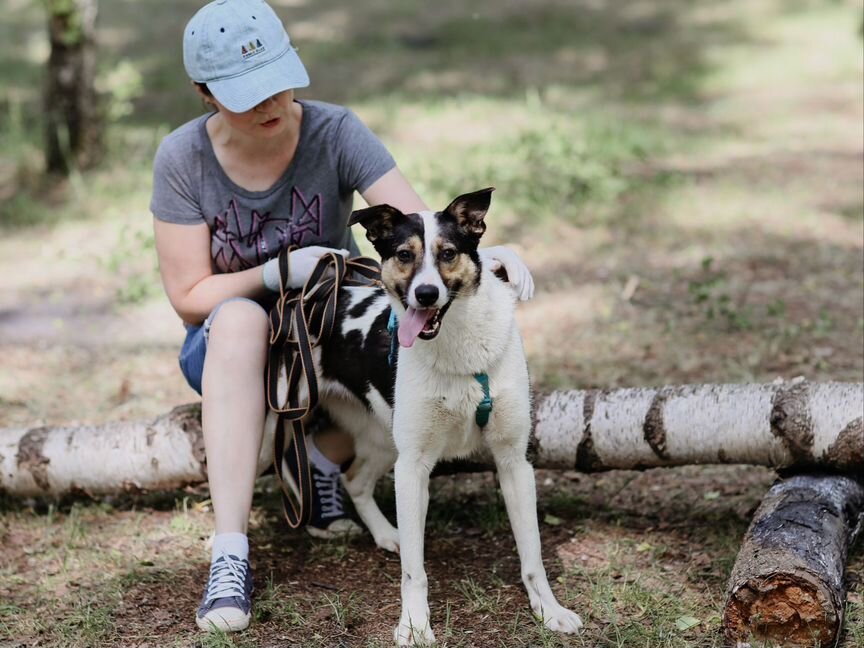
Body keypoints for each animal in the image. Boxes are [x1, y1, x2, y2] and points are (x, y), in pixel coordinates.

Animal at [262, 187, 580, 644]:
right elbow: (415, 571)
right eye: (403, 254)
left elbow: (533, 556)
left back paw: (385, 534)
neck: (459, 348)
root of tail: (313, 294)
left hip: (382, 435)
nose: (426, 295)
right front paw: (414, 624)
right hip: (275, 421)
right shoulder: (413, 467)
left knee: (354, 479)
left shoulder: (514, 463)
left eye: (448, 253)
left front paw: (549, 611)